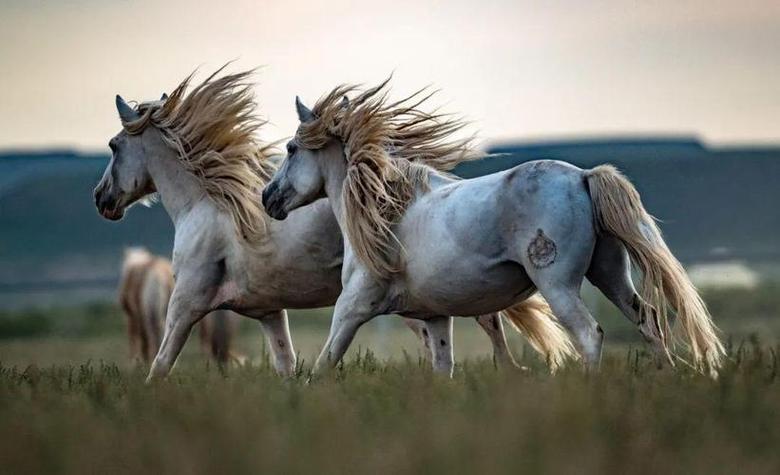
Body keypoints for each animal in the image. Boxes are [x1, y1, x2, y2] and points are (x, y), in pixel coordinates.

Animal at [94, 68, 570, 380]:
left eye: (114, 145)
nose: (101, 200)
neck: (205, 205)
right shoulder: (268, 312)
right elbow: (285, 365)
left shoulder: (186, 303)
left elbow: (160, 365)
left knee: (486, 322)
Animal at [262, 79, 726, 378]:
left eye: (291, 148)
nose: (268, 199)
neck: (385, 211)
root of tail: (582, 177)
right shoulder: (435, 317)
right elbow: (442, 369)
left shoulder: (353, 307)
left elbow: (324, 364)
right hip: (610, 274)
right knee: (648, 319)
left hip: (558, 284)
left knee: (589, 334)